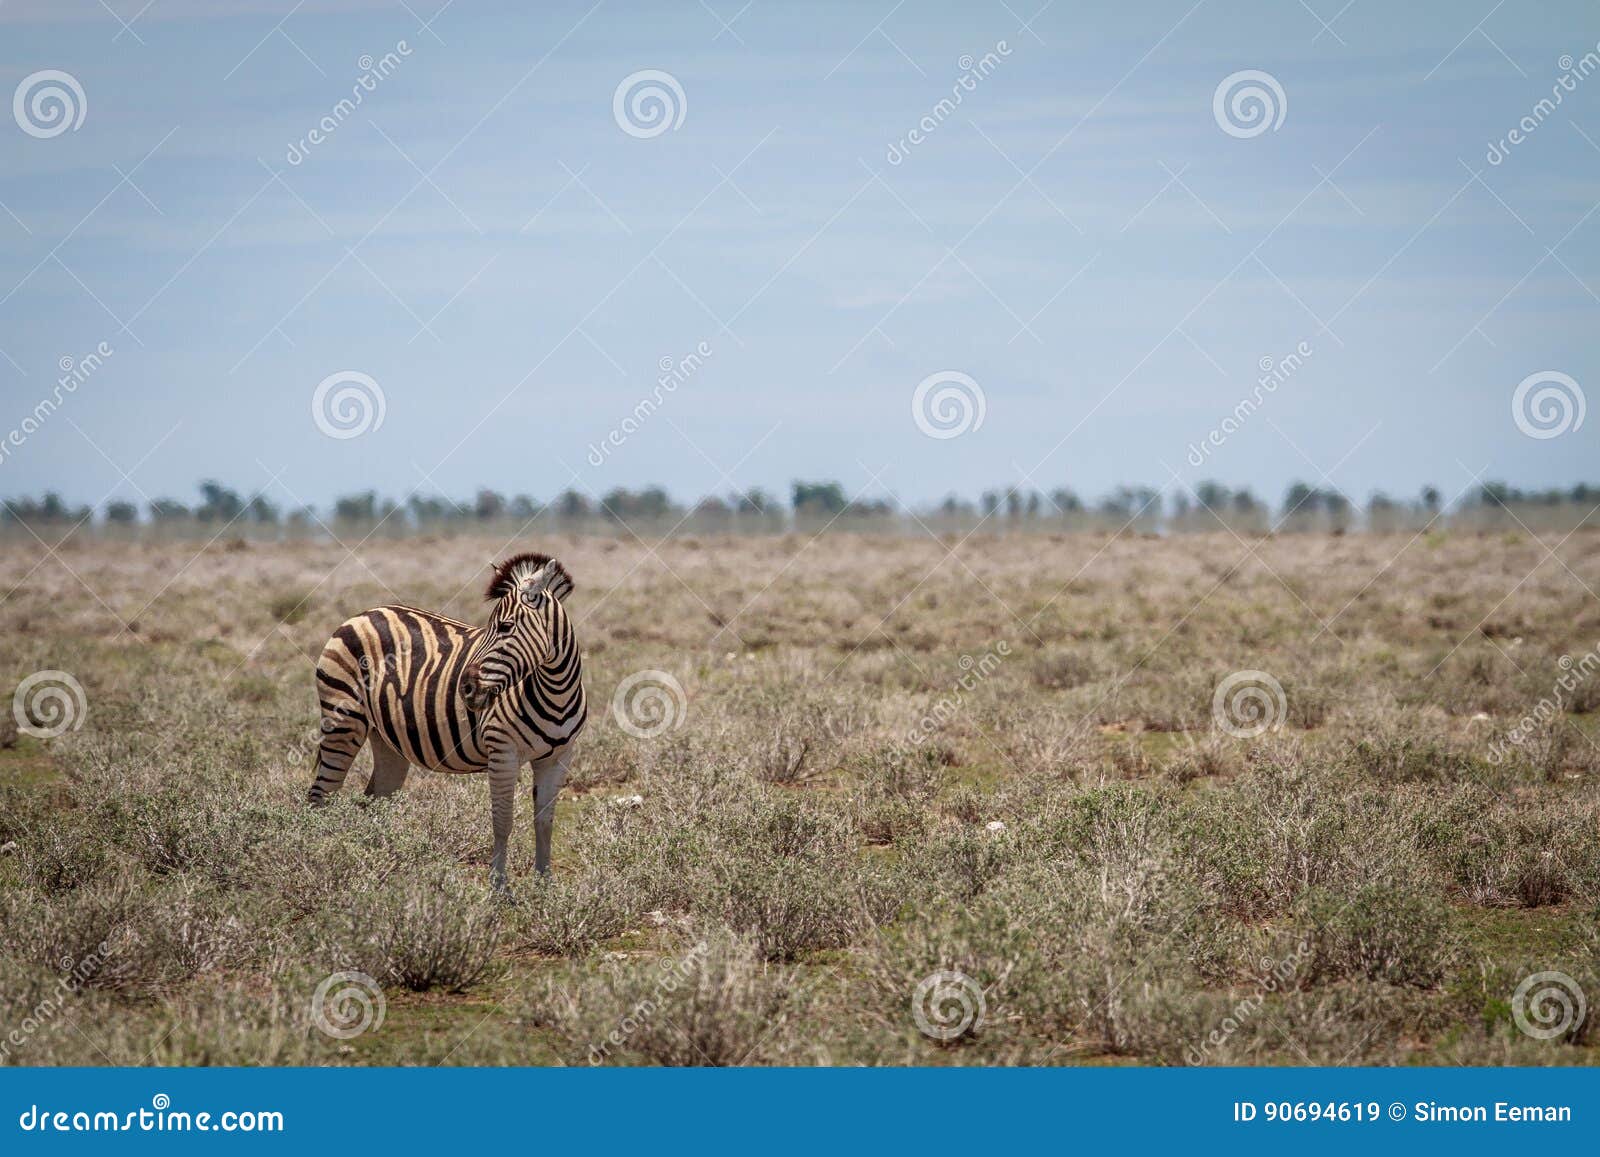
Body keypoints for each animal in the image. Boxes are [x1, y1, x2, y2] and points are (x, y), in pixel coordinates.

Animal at [306, 551, 586, 892]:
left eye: (505, 627)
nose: (466, 689)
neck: (555, 690)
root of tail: (361, 614)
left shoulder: (559, 757)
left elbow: (545, 821)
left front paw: (545, 885)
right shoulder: (502, 752)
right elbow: (502, 820)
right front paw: (499, 887)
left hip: (386, 741)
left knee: (373, 801)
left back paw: (379, 867)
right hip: (343, 721)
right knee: (320, 796)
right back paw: (323, 858)